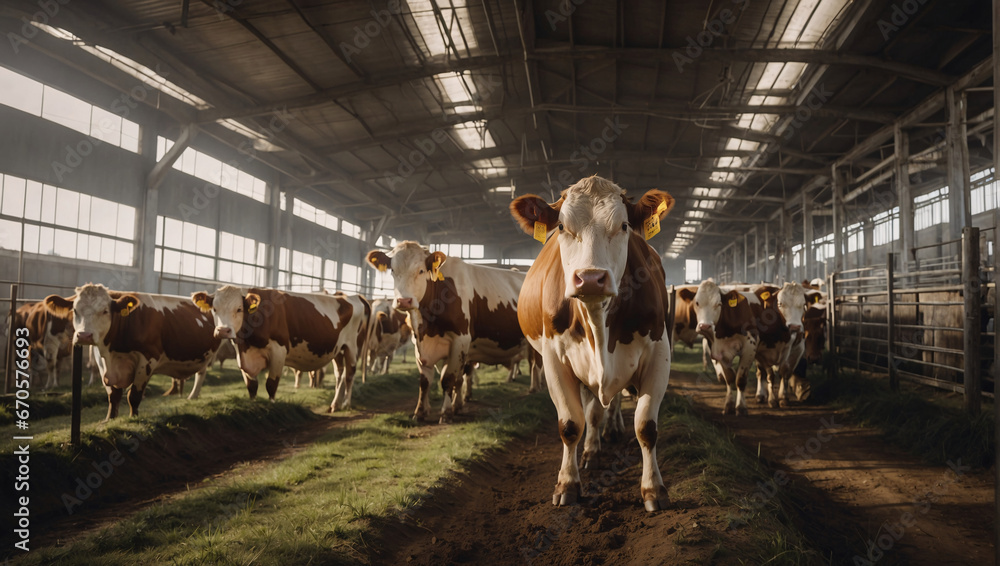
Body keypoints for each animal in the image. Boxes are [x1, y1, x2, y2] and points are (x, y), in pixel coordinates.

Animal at [44, 284, 222, 421]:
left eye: (105, 311)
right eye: (75, 310)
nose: (84, 335)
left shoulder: (148, 360)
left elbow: (133, 395)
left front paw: (133, 417)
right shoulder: (101, 361)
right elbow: (114, 395)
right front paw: (109, 419)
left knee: (201, 374)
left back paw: (192, 395)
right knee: (201, 371)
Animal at [190, 286, 369, 411]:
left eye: (239, 309)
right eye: (214, 309)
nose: (223, 331)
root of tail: (352, 296)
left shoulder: (278, 352)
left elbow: (271, 384)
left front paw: (272, 407)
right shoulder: (244, 356)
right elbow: (251, 386)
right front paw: (252, 405)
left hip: (352, 346)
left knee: (349, 375)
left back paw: (346, 404)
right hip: (338, 349)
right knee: (340, 374)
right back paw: (335, 404)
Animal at [366, 242, 543, 423]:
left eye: (421, 270)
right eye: (393, 270)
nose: (404, 301)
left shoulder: (460, 340)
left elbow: (448, 379)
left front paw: (446, 412)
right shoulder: (421, 344)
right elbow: (426, 381)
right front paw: (421, 412)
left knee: (536, 364)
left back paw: (536, 388)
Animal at [509, 175, 674, 511]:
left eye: (624, 225)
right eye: (561, 226)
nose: (590, 278)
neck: (599, 323)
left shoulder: (658, 353)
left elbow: (646, 426)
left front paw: (653, 489)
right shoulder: (554, 360)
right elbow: (572, 423)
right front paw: (567, 484)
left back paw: (610, 431)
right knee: (592, 410)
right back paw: (592, 450)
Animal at [687, 280, 759, 416]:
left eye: (719, 304)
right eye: (697, 303)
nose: (705, 326)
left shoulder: (750, 348)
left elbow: (740, 379)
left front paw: (741, 407)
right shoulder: (718, 350)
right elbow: (730, 378)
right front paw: (729, 405)